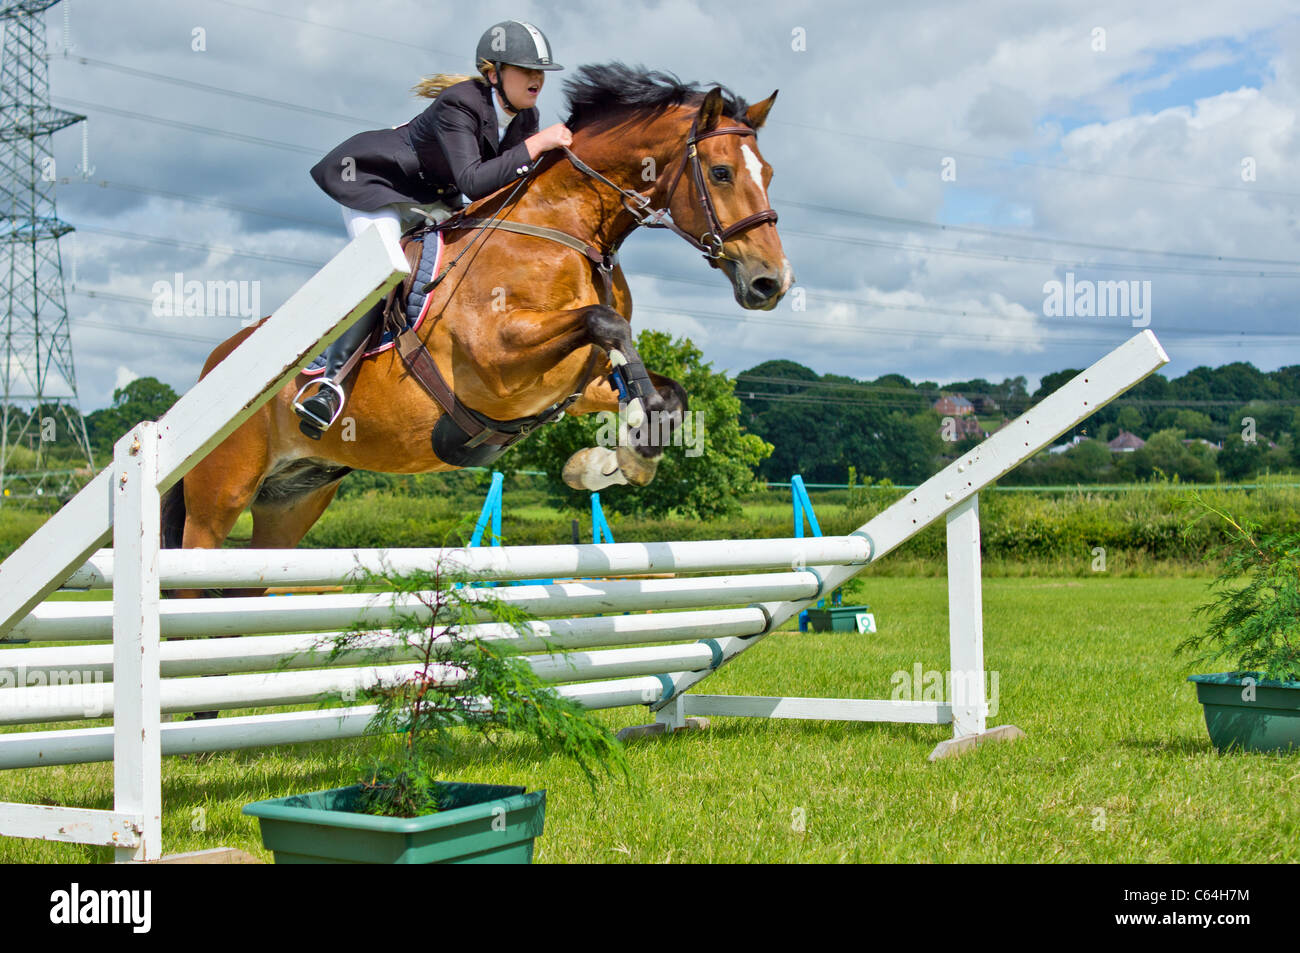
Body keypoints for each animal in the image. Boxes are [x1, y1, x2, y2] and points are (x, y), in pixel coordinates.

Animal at [162, 64, 793, 579]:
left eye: (768, 172)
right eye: (720, 173)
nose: (772, 283)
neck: (564, 229)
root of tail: (208, 372)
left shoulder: (569, 383)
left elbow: (663, 389)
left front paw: (609, 461)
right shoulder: (498, 362)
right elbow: (606, 322)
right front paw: (623, 452)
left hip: (293, 499)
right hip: (217, 499)